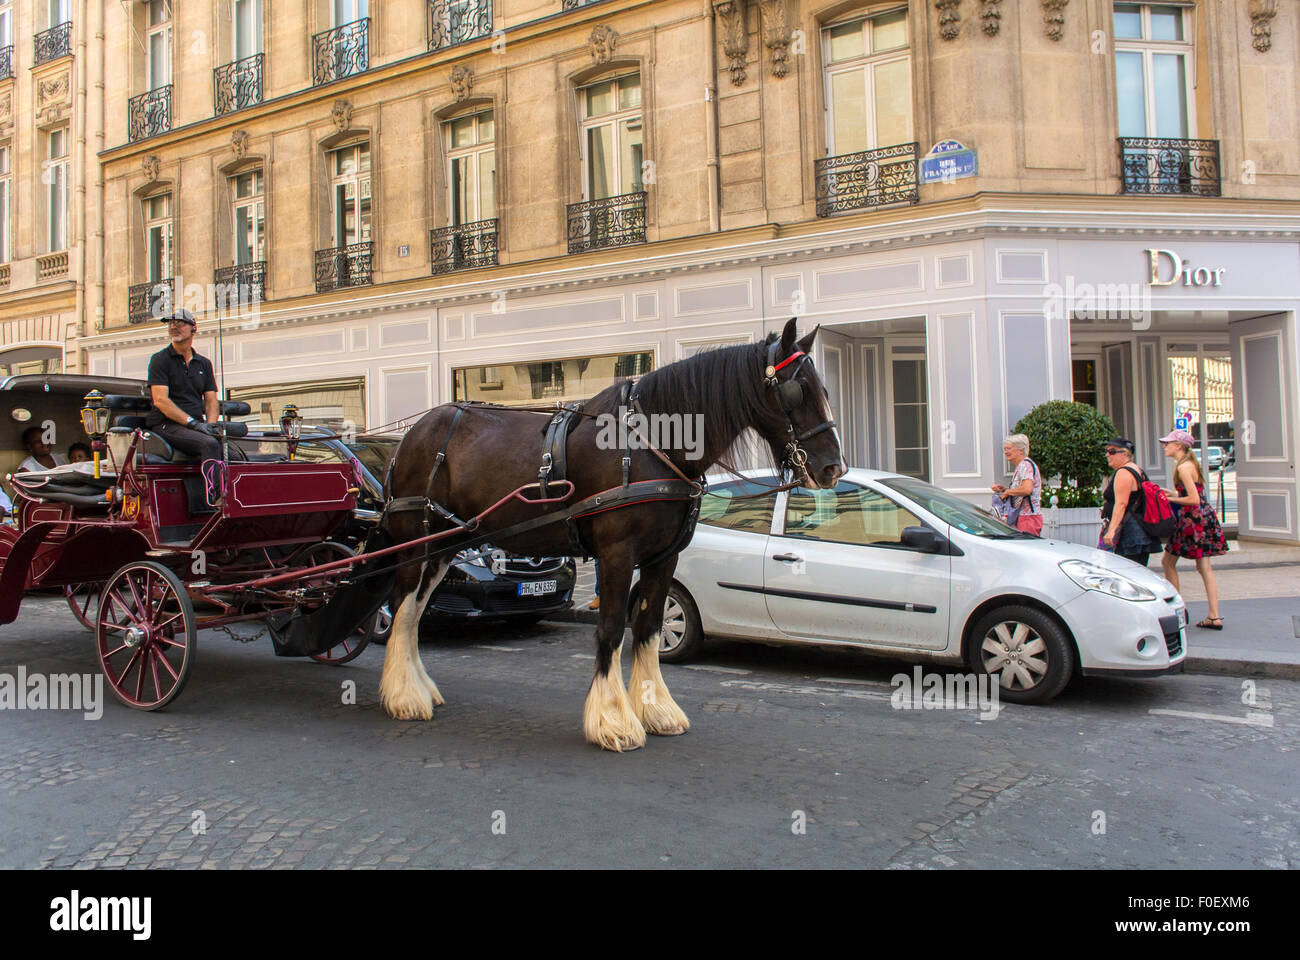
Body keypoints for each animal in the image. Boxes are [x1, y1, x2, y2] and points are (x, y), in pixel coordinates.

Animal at [298, 318, 844, 750]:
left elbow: (648, 628)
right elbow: (611, 629)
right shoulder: (617, 555)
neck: (650, 443)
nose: (832, 467)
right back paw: (403, 696)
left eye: (825, 389)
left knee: (412, 612)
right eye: (796, 391)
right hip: (420, 538)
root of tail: (410, 436)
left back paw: (417, 688)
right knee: (402, 606)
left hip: (447, 544)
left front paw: (656, 709)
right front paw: (612, 720)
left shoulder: (663, 558)